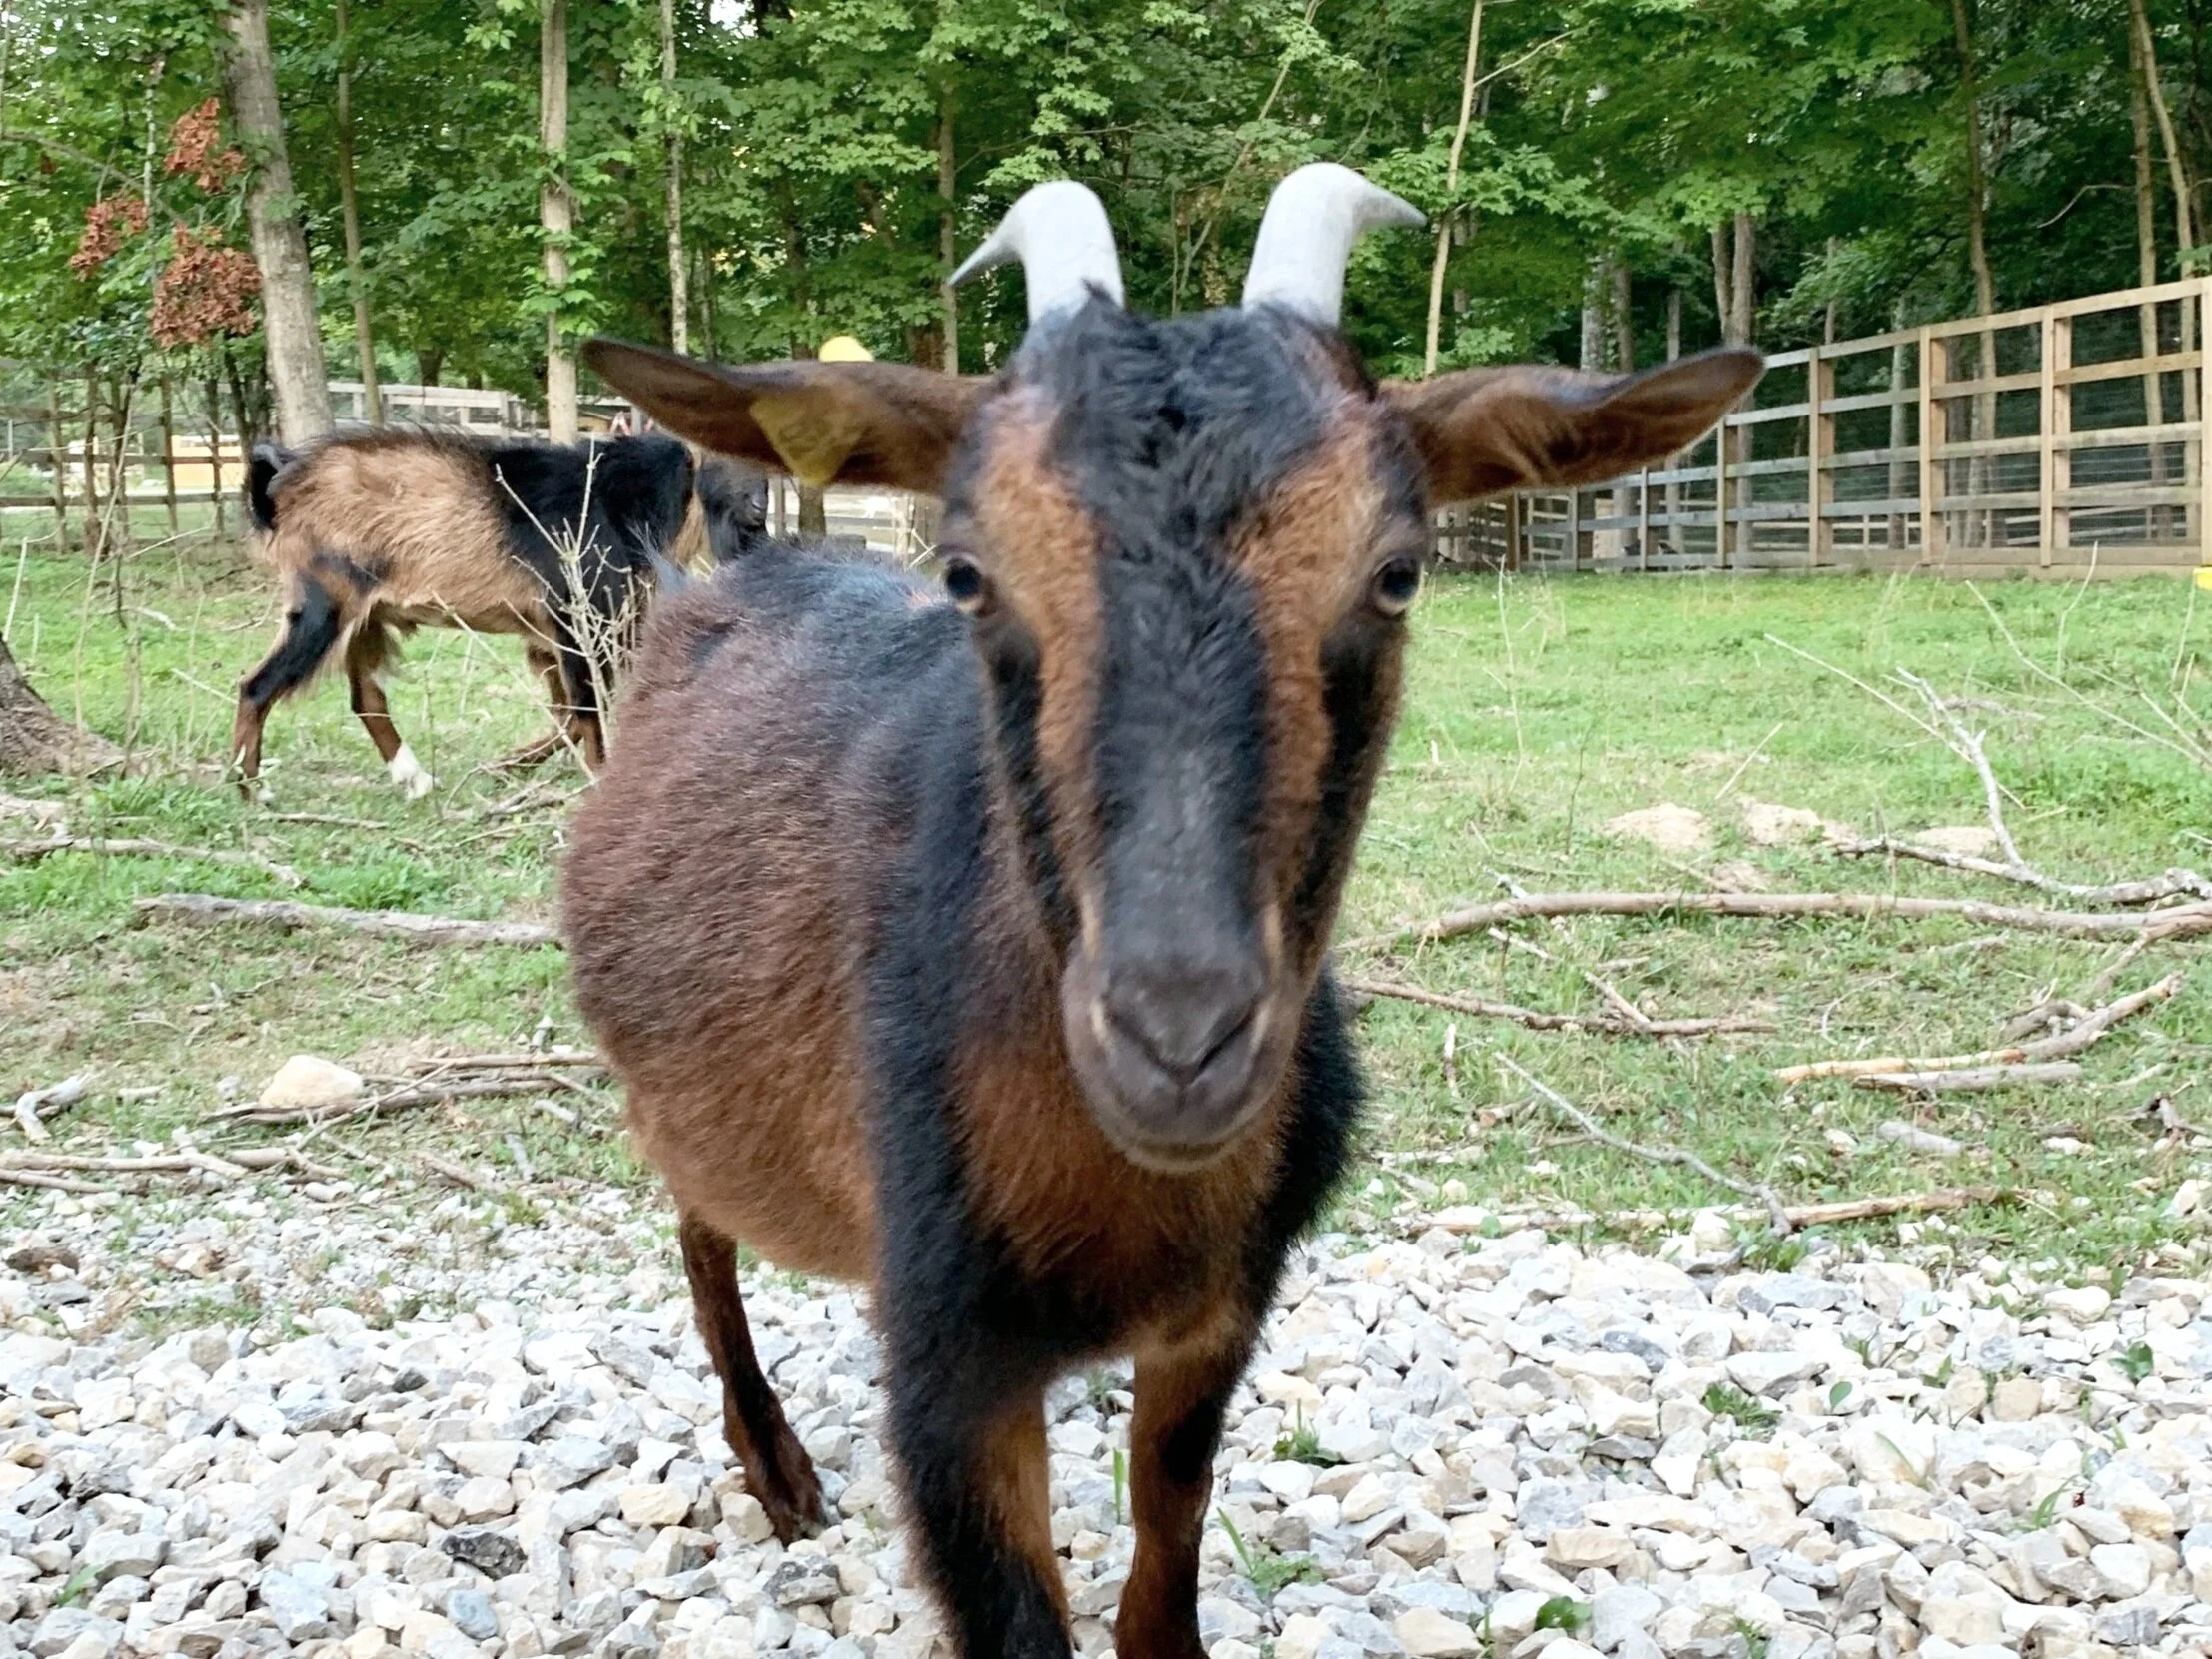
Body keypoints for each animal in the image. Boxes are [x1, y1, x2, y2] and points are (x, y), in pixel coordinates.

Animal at [230, 429, 698, 798]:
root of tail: (283, 483)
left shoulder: (556, 641)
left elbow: (569, 717)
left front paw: (511, 764)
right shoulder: (576, 630)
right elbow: (588, 714)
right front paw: (598, 780)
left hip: (366, 619)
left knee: (366, 698)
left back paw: (414, 779)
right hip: (323, 610)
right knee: (256, 687)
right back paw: (252, 790)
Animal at [563, 165, 1760, 1659]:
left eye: (1397, 570)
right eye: (969, 572)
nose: (1178, 1038)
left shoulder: (1219, 1319)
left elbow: (1167, 1541)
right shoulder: (948, 1376)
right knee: (696, 1227)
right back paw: (777, 1470)